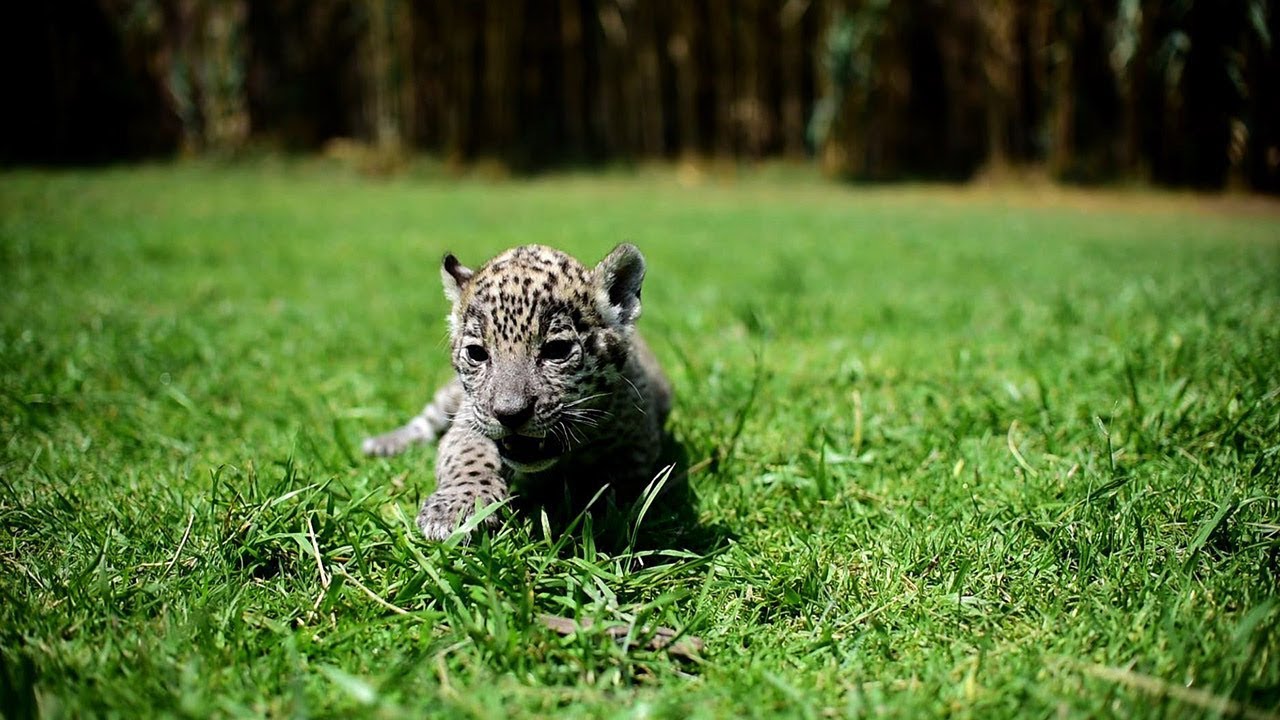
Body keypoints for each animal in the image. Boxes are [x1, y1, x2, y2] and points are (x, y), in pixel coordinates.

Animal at [362, 243, 672, 541]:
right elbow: (468, 455)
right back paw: (385, 443)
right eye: (477, 354)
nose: (509, 414)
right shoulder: (471, 417)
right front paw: (459, 509)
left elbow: (614, 485)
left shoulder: (639, 446)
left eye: (556, 350)